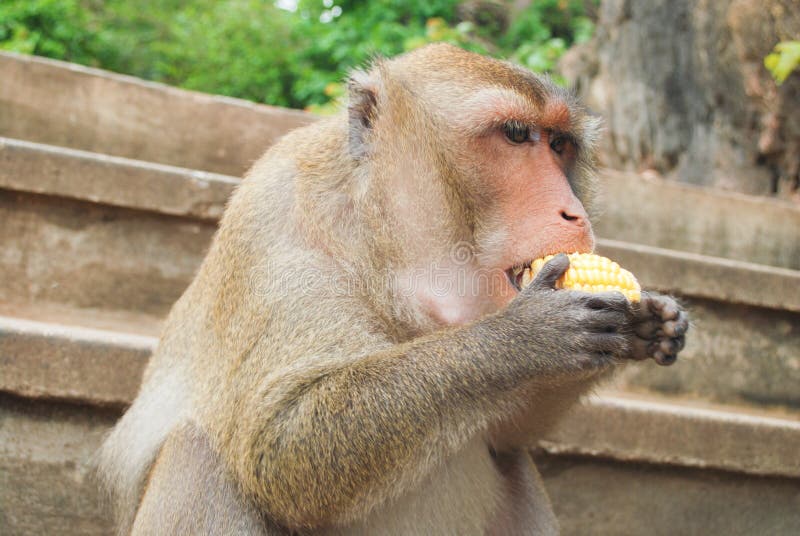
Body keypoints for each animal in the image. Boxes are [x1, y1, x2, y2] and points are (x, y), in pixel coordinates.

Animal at [97, 43, 688, 535]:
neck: (384, 246)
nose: (574, 212)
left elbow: (505, 437)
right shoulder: (274, 218)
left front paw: (650, 321)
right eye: (518, 135)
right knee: (200, 455)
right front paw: (525, 337)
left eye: (561, 144)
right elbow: (281, 446)